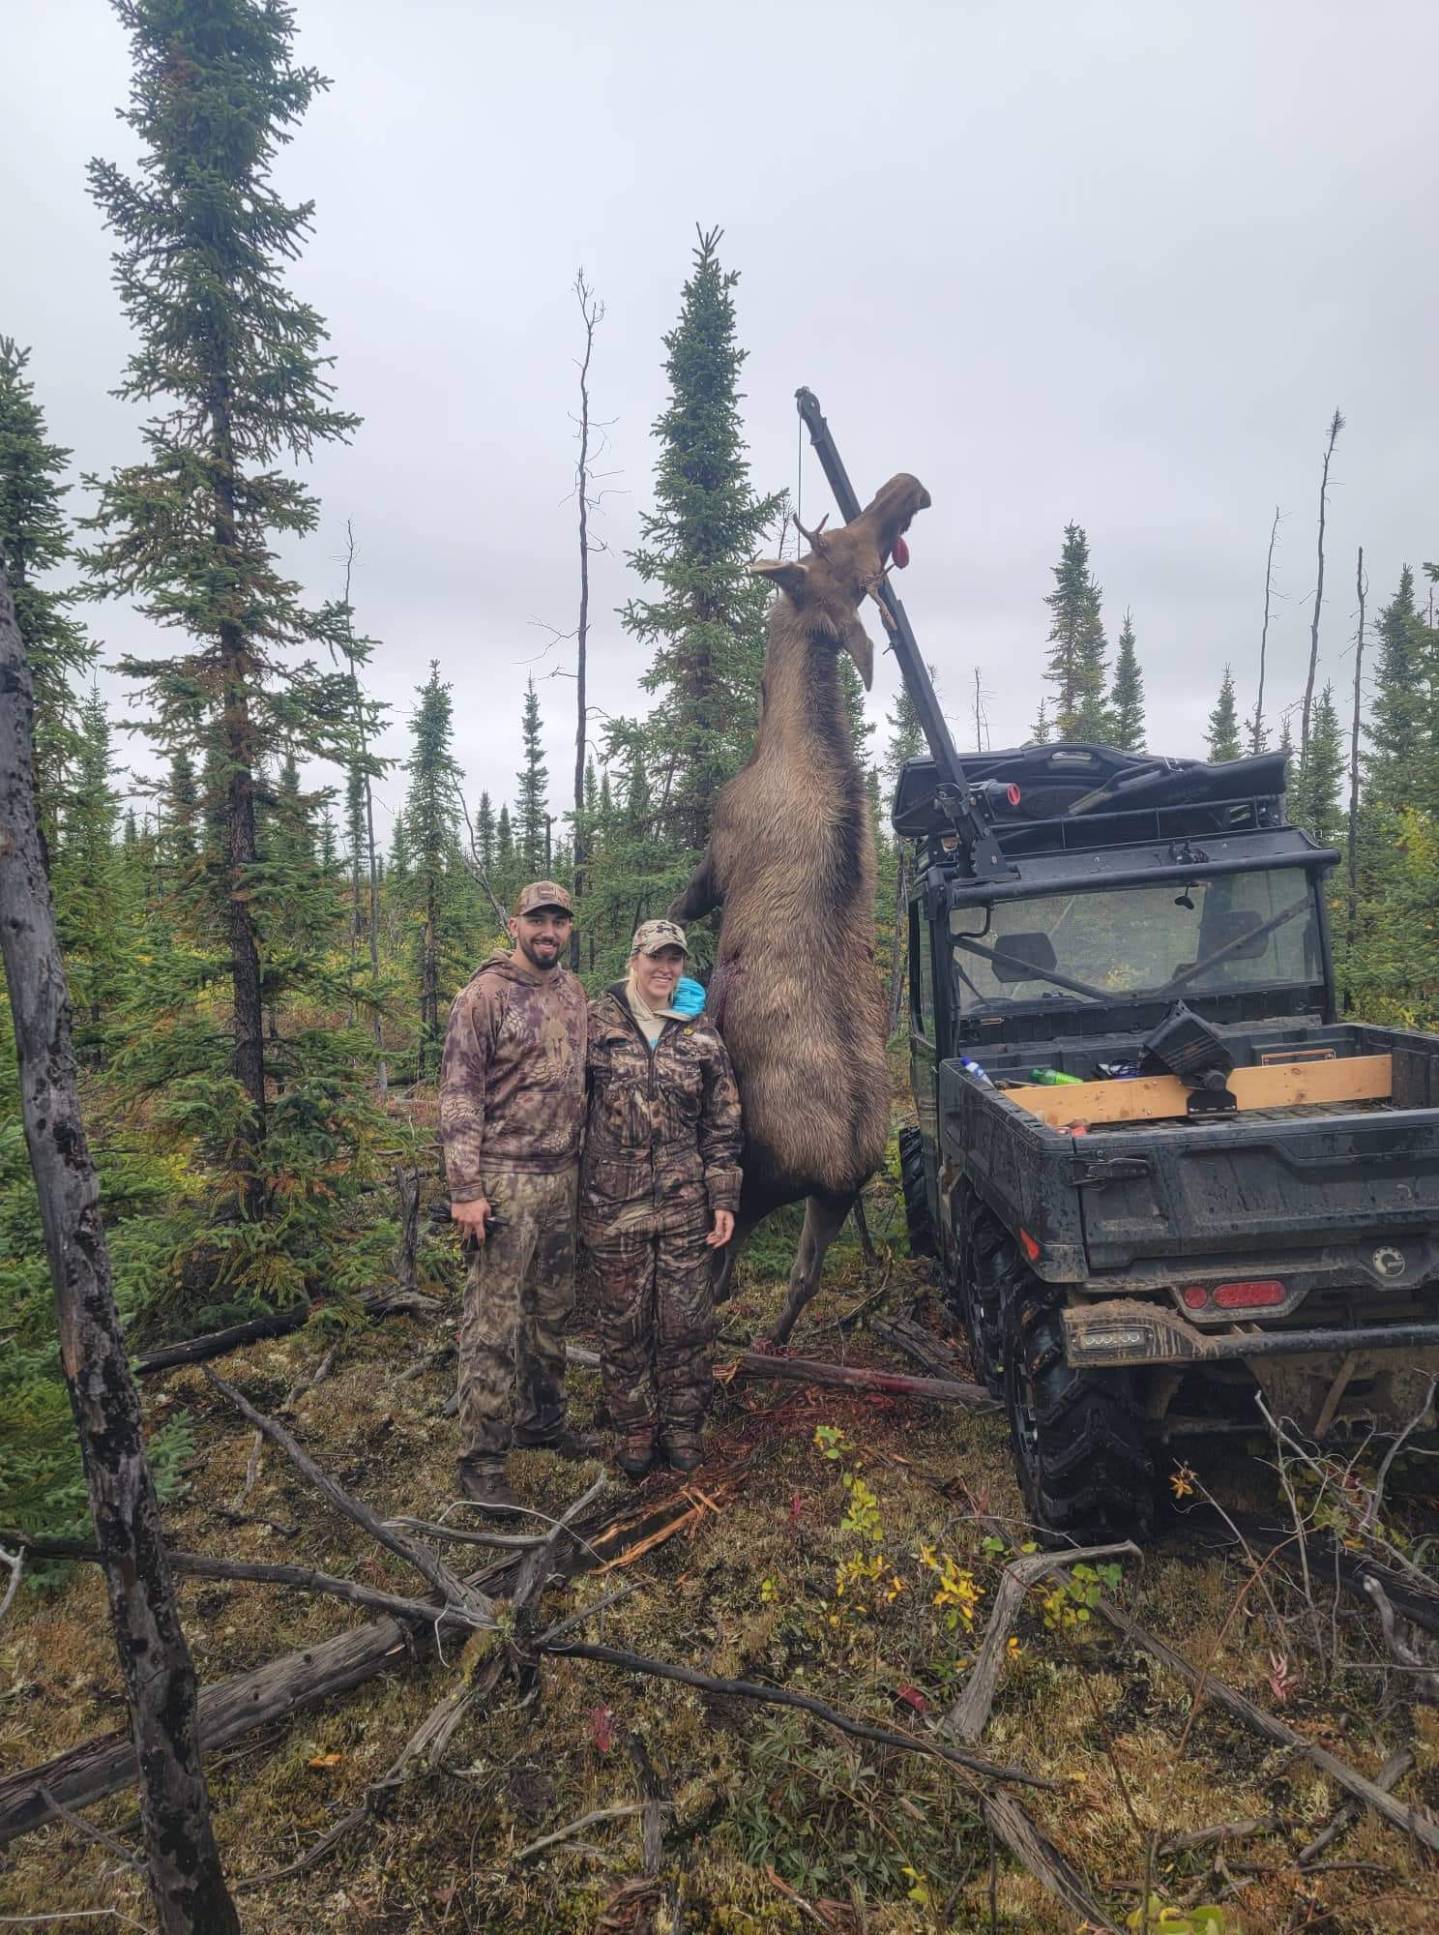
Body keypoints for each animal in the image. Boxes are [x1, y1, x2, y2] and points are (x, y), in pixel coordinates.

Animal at [669, 472, 931, 1344]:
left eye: (813, 551)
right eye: (854, 561)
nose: (906, 489)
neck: (776, 731)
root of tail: (846, 1153)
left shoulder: (717, 854)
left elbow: (680, 903)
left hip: (757, 1172)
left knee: (722, 1253)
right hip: (836, 1195)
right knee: (804, 1274)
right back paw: (770, 1337)